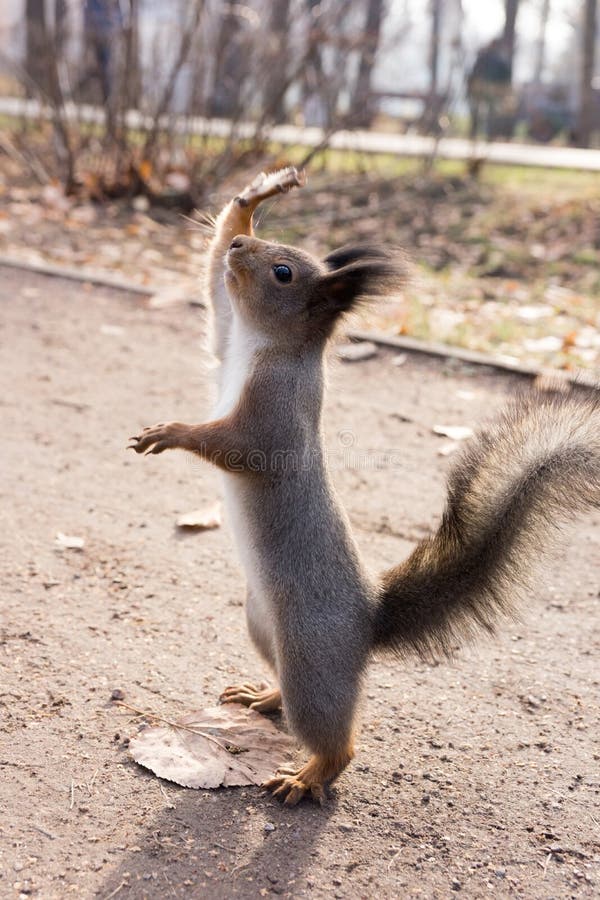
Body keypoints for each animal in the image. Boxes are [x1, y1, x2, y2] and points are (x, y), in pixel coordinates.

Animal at [130, 167, 600, 806]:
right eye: (260, 247)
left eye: (284, 272)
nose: (241, 246)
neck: (263, 347)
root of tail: (368, 620)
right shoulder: (227, 335)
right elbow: (212, 287)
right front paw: (260, 192)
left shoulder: (272, 417)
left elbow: (236, 446)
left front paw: (170, 432)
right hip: (261, 625)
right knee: (285, 686)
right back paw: (265, 698)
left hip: (312, 657)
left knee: (336, 738)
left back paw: (307, 776)